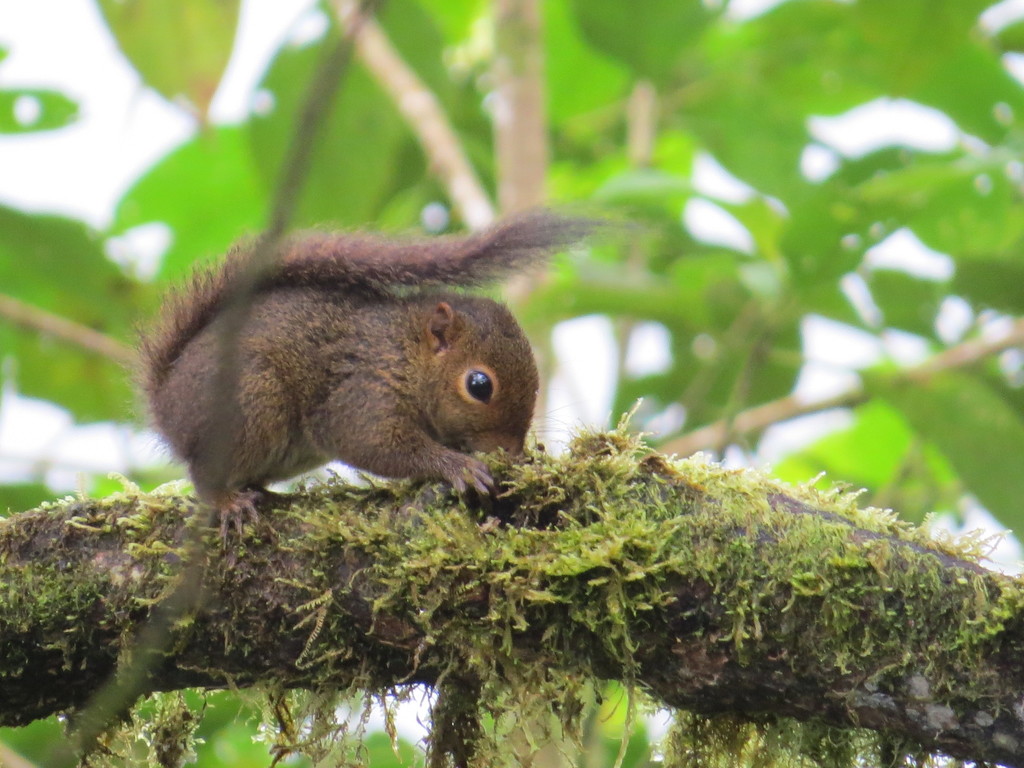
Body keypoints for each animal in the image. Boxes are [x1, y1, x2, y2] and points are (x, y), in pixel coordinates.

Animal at [139, 210, 588, 530]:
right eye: (479, 385)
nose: (512, 451)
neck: (406, 354)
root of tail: (167, 403)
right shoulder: (364, 392)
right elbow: (374, 442)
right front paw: (458, 466)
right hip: (251, 400)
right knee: (203, 474)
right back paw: (228, 501)